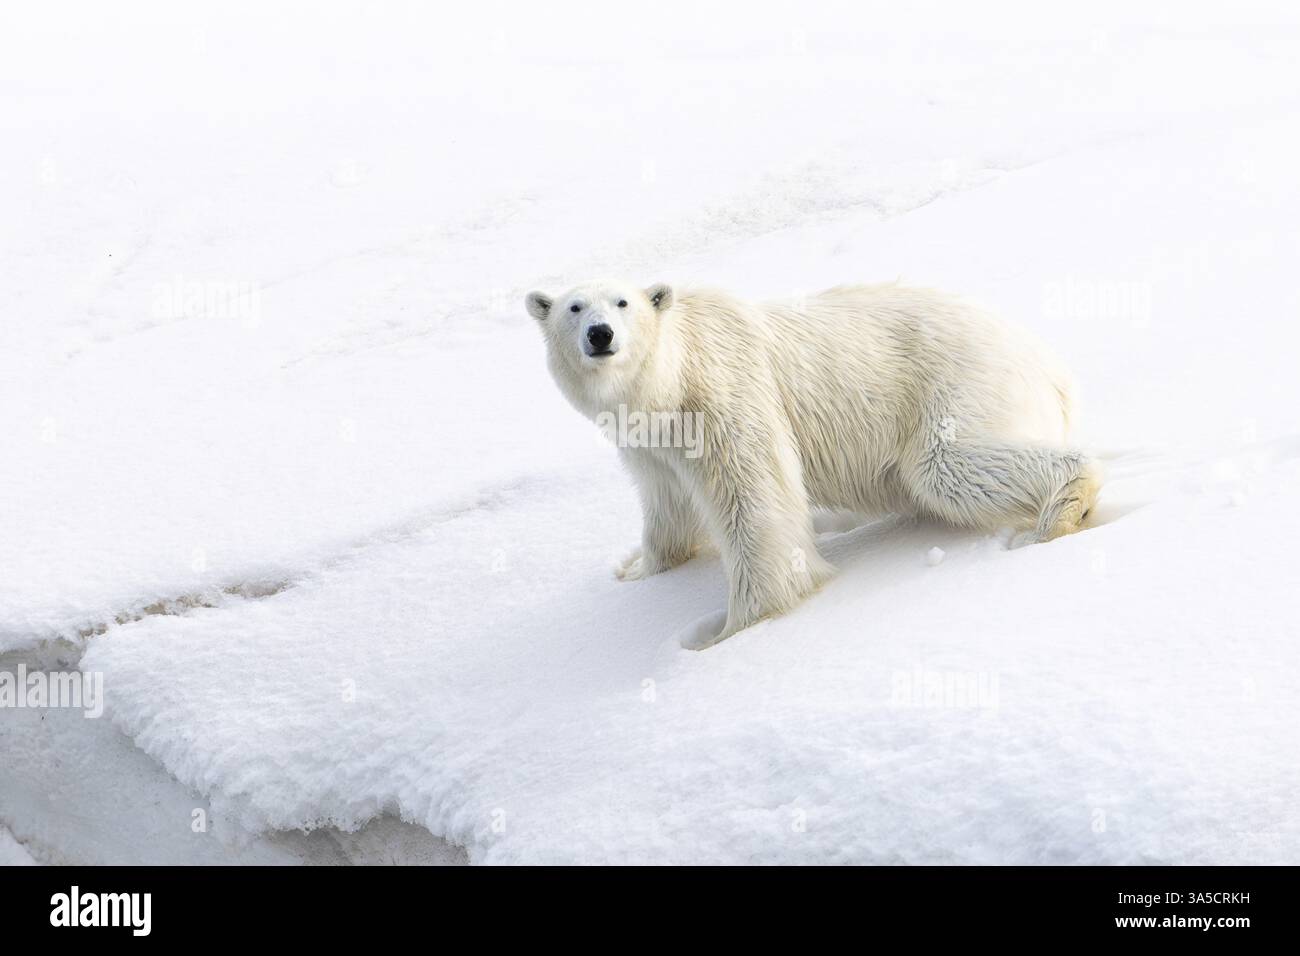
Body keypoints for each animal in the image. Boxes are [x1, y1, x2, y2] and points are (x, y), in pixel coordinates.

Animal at [525, 280, 1100, 647]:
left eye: (622, 302)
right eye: (573, 307)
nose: (601, 333)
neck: (671, 381)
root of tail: (1052, 369)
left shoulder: (724, 397)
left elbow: (754, 502)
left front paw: (732, 631)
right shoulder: (650, 443)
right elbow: (669, 507)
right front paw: (639, 570)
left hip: (955, 383)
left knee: (946, 467)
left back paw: (1061, 509)